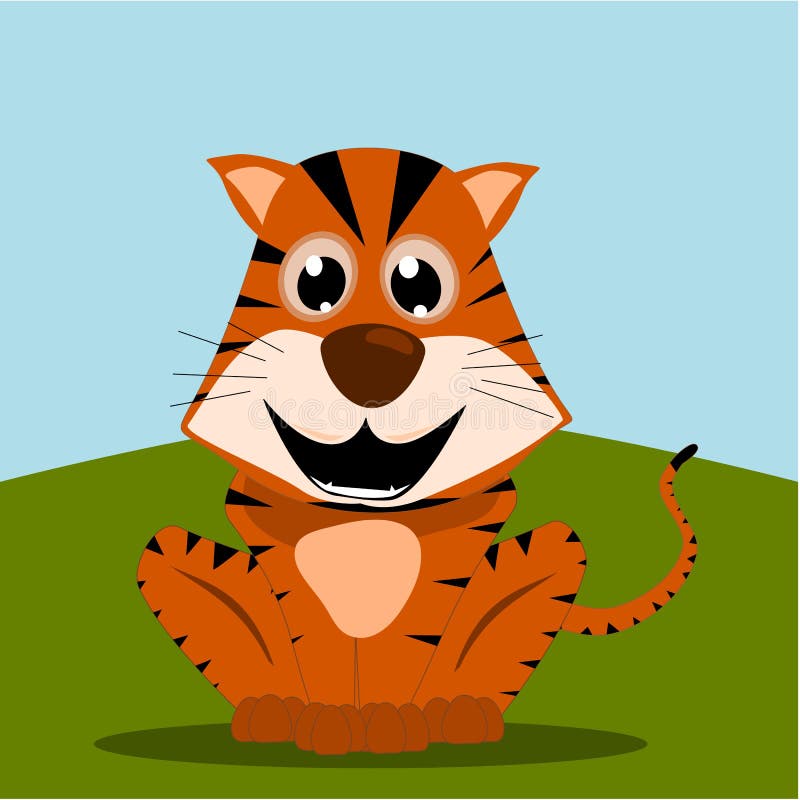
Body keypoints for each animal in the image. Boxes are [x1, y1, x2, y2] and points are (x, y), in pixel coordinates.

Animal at [138, 148, 698, 755]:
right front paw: (329, 720)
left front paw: (390, 720)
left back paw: (463, 711)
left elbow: (409, 640)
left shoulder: (456, 546)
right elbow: (317, 640)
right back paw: (270, 710)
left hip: (555, 550)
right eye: (316, 281)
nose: (371, 356)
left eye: (420, 286)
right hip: (168, 557)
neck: (361, 517)